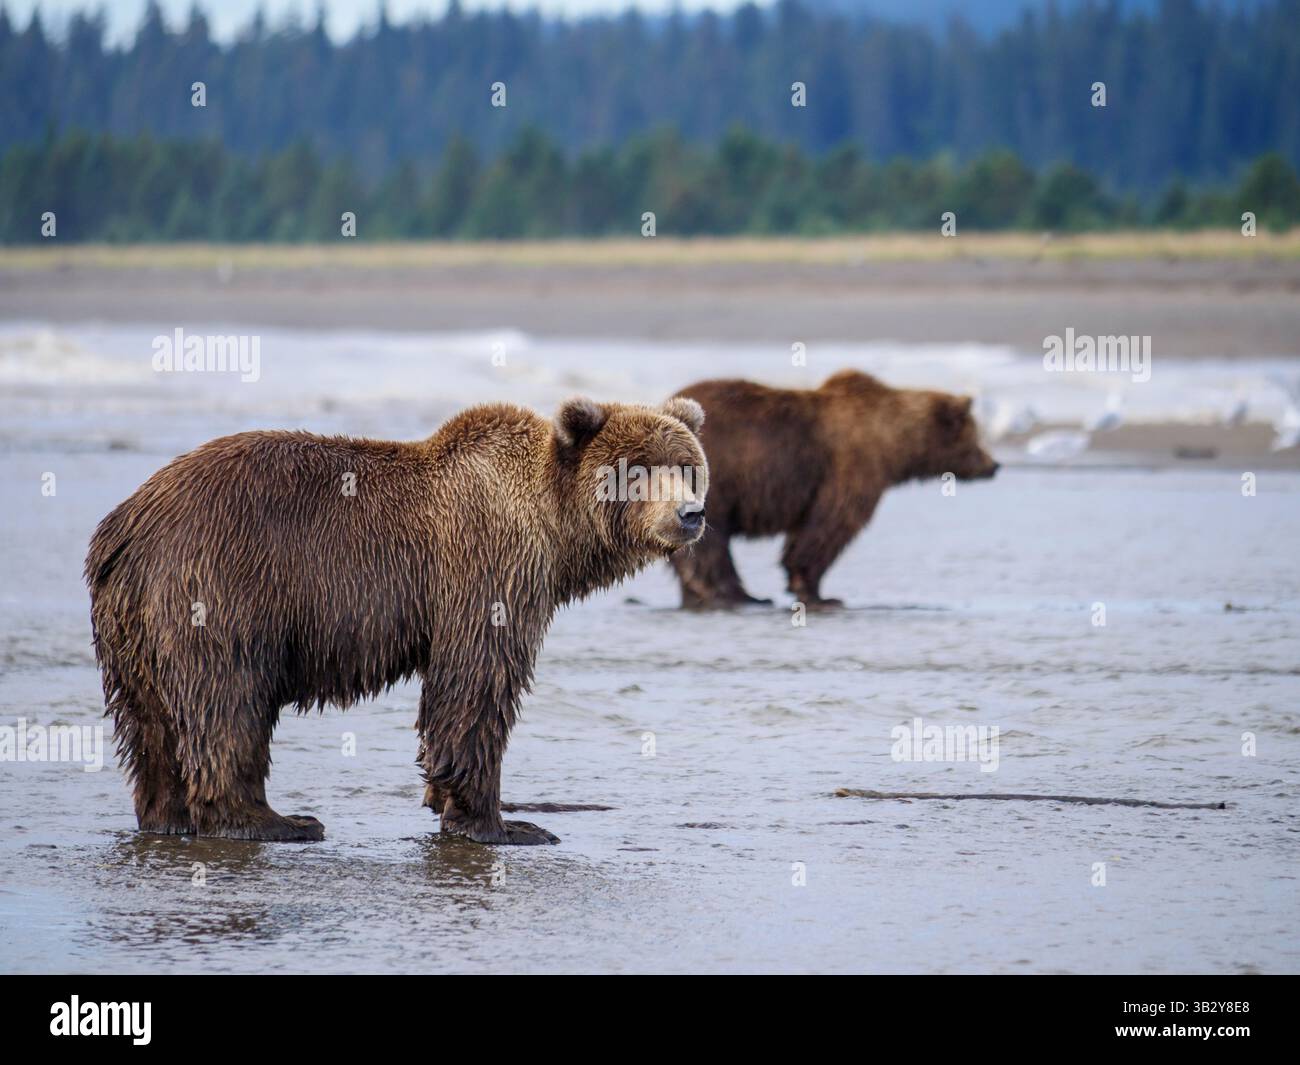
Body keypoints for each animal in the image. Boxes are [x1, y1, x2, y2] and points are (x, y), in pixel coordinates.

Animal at [85, 396, 707, 845]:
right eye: (638, 470)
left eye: (687, 467)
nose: (691, 515)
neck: (557, 532)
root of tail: (128, 523)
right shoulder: (486, 569)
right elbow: (476, 683)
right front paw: (505, 824)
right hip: (223, 585)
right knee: (229, 699)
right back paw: (278, 821)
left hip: (131, 624)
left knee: (150, 722)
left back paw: (166, 815)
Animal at [668, 370, 997, 609]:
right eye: (975, 434)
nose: (993, 465)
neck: (893, 443)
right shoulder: (850, 468)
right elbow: (830, 525)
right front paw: (819, 592)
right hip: (717, 477)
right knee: (711, 541)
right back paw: (738, 594)